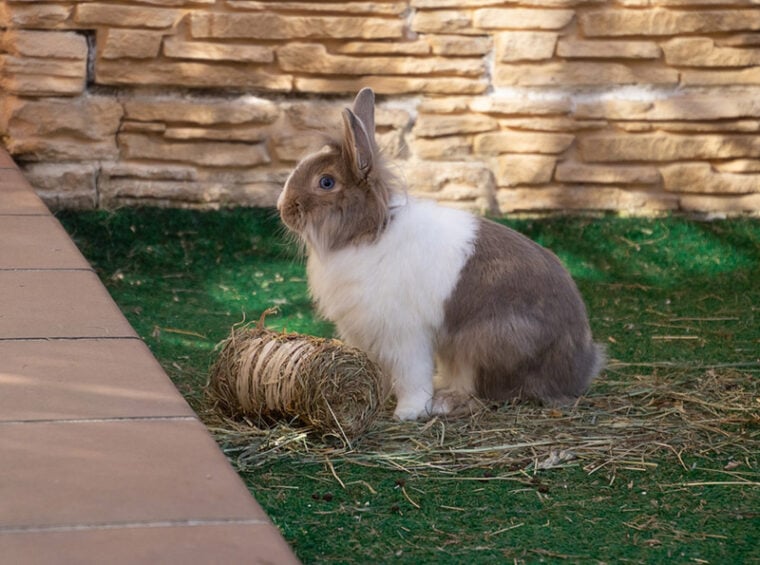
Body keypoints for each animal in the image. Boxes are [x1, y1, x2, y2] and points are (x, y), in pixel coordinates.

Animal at [277, 88, 605, 421]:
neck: (367, 233)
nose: (283, 208)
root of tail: (579, 369)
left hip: (486, 343)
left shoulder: (405, 335)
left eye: (326, 182)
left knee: (493, 393)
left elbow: (412, 376)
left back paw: (444, 402)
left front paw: (408, 412)